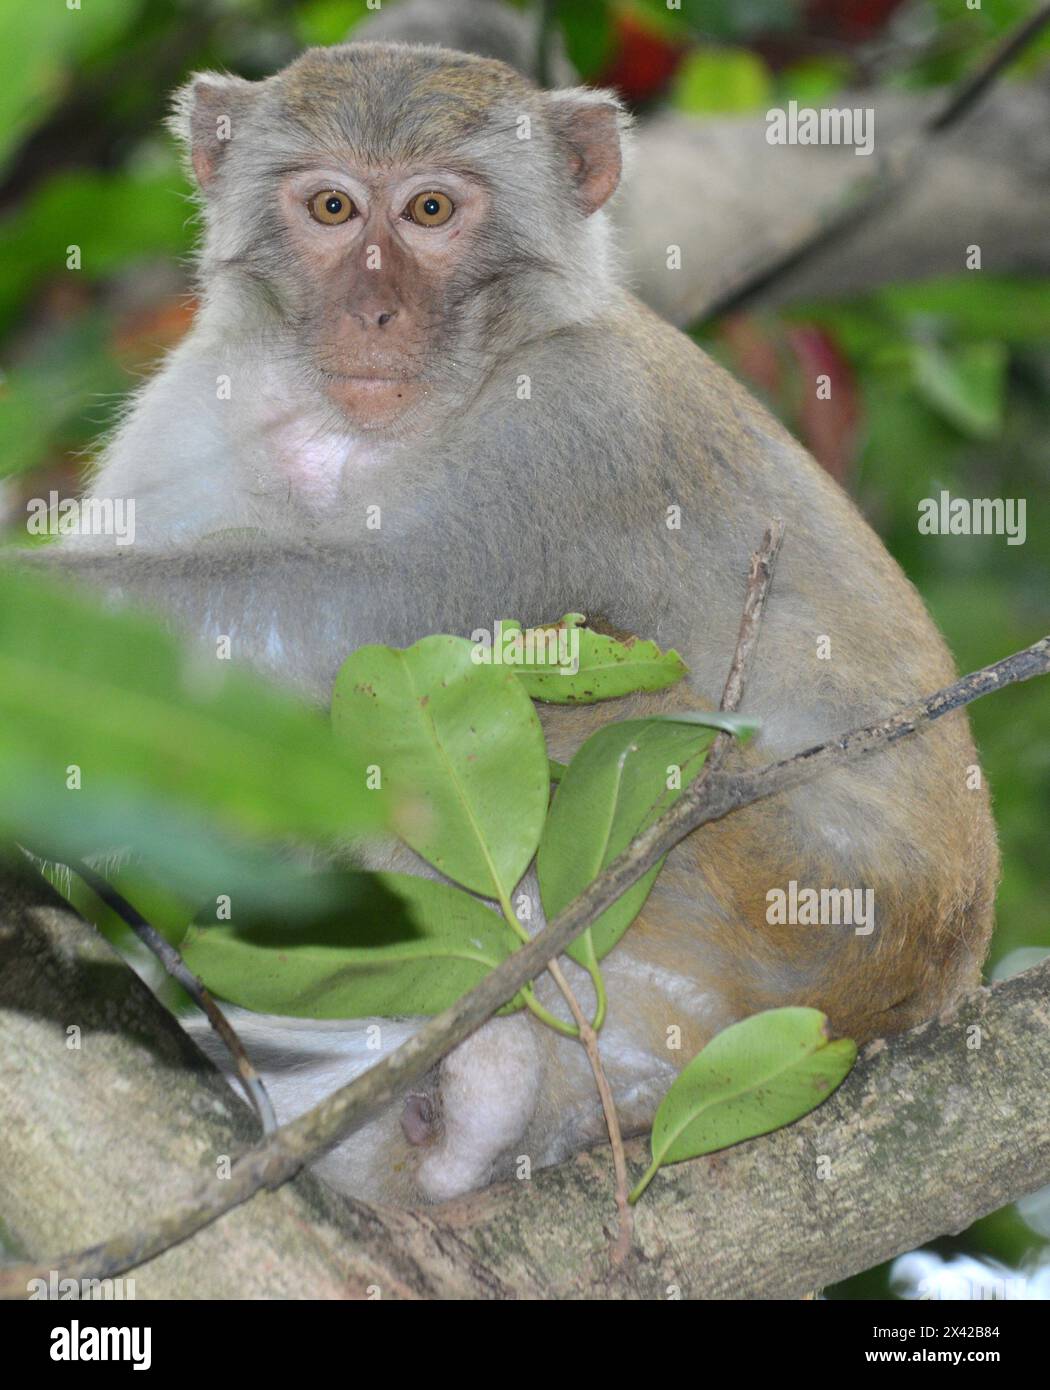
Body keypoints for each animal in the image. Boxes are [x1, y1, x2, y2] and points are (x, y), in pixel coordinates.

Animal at [25, 41, 998, 1206]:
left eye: (433, 208)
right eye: (332, 206)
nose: (374, 312)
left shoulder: (571, 426)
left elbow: (370, 616)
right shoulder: (198, 401)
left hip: (782, 893)